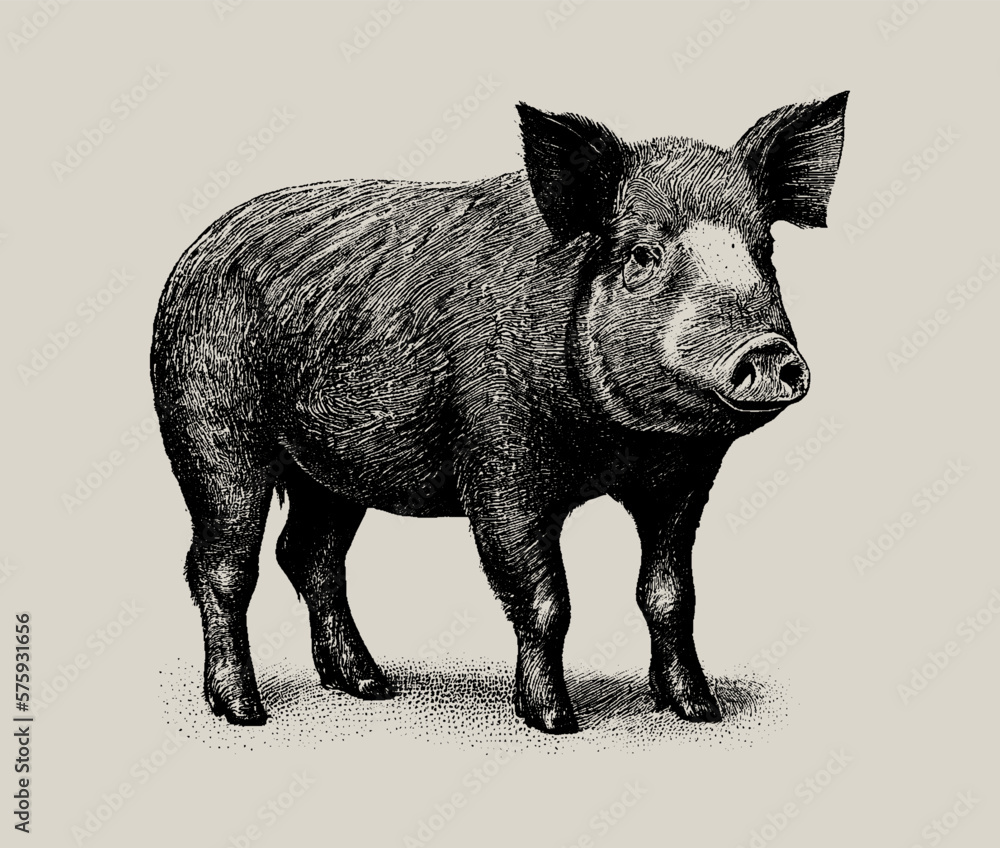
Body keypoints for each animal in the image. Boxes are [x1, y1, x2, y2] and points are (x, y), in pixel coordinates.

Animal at [151, 92, 848, 734]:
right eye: (643, 255)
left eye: (764, 250)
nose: (768, 349)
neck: (624, 443)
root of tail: (192, 255)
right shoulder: (500, 467)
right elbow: (543, 597)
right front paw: (556, 721)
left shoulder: (683, 480)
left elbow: (670, 595)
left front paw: (700, 712)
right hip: (209, 433)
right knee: (220, 567)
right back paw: (245, 712)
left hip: (330, 472)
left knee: (308, 555)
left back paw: (371, 686)